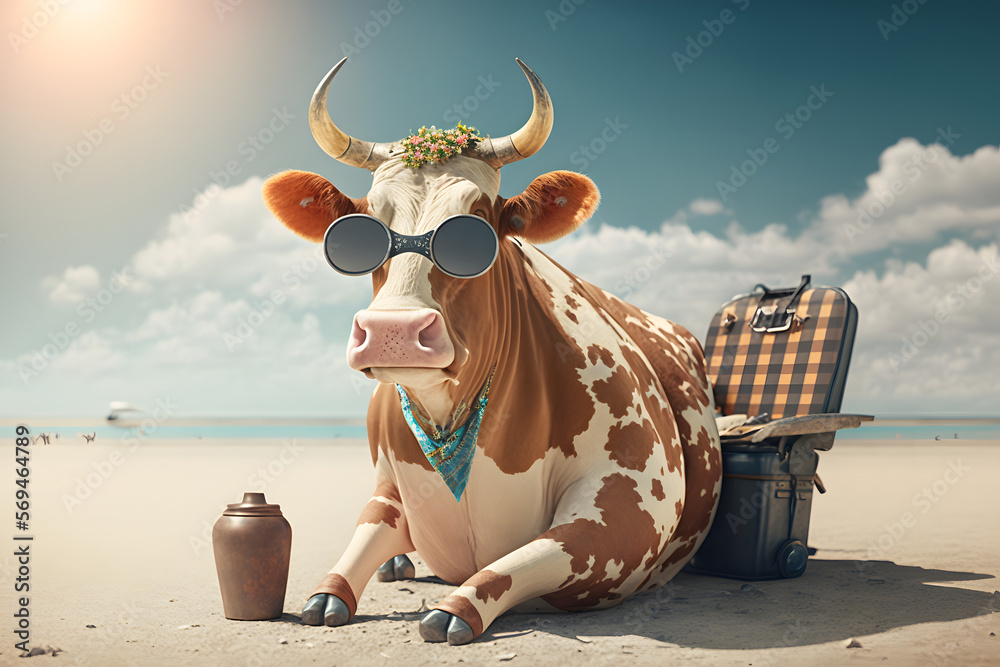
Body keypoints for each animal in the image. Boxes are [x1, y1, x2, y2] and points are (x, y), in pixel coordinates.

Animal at [262, 58, 722, 645]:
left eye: (476, 227)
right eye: (359, 229)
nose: (394, 331)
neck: (451, 419)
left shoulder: (633, 507)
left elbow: (528, 558)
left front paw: (460, 605)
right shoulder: (390, 490)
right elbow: (363, 535)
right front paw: (331, 591)